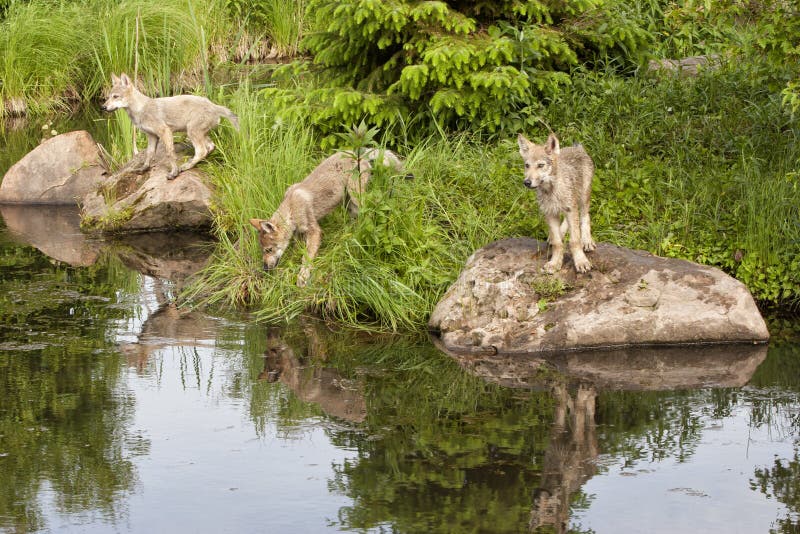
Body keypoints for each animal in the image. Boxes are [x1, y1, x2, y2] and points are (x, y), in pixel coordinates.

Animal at [101, 72, 239, 179]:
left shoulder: (165, 131)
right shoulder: (152, 136)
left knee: (201, 151)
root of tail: (214, 106)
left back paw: (185, 166)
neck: (141, 109)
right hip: (200, 134)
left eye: (115, 96)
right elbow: (149, 153)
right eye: (107, 97)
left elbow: (169, 154)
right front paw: (144, 168)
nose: (103, 107)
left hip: (192, 132)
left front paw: (174, 172)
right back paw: (192, 163)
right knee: (210, 147)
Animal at [249, 149, 406, 286]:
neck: (292, 210)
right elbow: (298, 250)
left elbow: (306, 258)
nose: (265, 269)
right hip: (348, 202)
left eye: (268, 250)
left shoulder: (314, 231)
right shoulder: (300, 233)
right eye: (263, 250)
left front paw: (303, 277)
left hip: (356, 196)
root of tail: (359, 154)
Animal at [518, 132, 596, 273]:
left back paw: (587, 240)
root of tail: (577, 148)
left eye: (540, 165)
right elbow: (557, 243)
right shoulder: (549, 213)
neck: (551, 191)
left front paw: (581, 261)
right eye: (527, 165)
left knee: (585, 217)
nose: (526, 182)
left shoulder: (571, 209)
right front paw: (555, 263)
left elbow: (574, 240)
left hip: (583, 199)